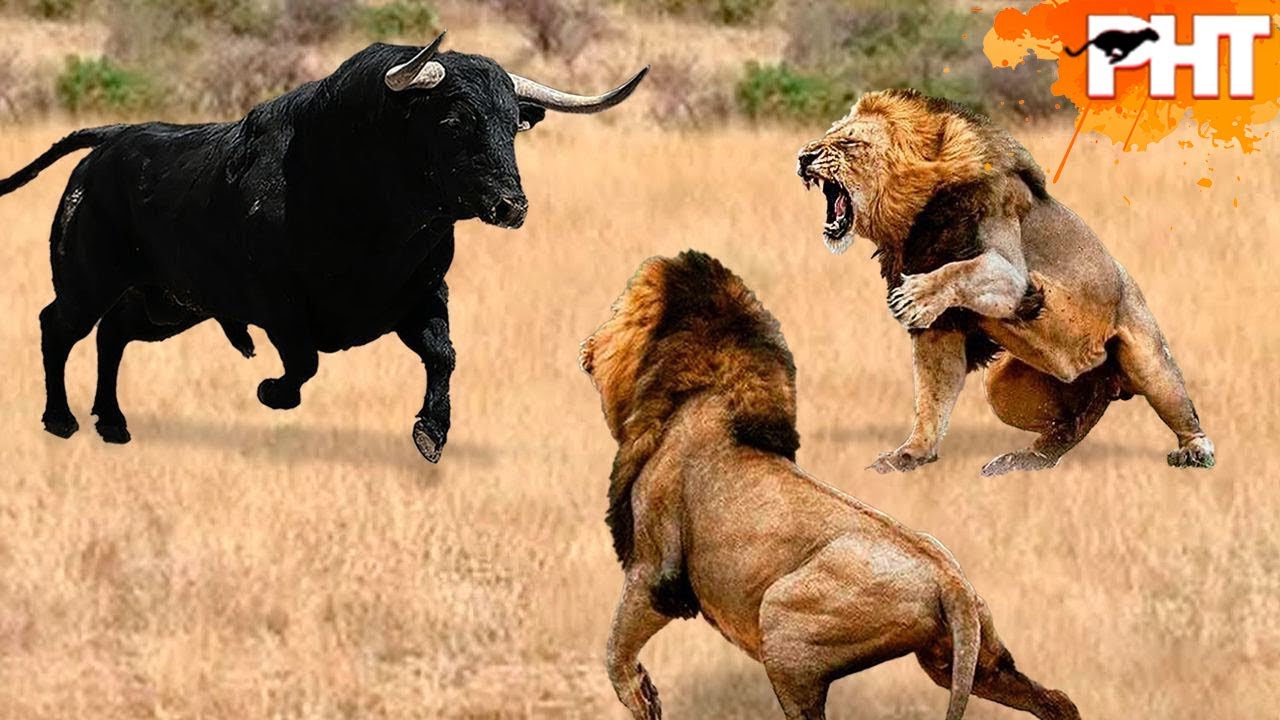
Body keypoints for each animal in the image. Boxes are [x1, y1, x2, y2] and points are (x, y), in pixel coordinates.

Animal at [0, 32, 647, 462]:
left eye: (513, 124)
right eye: (454, 121)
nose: (512, 206)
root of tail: (109, 140)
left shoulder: (422, 297)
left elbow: (443, 355)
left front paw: (431, 433)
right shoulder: (279, 304)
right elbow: (304, 360)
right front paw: (272, 391)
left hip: (166, 304)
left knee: (113, 335)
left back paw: (112, 422)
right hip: (88, 281)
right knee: (59, 327)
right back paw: (61, 419)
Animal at [580, 250, 1081, 720]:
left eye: (619, 306)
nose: (587, 344)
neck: (705, 389)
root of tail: (950, 579)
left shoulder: (655, 571)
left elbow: (615, 647)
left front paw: (642, 698)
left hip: (782, 625)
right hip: (968, 662)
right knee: (1056, 700)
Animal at [796, 89, 1214, 475]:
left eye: (849, 143)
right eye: (828, 135)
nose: (802, 157)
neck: (912, 224)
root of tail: (1105, 381)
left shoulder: (1012, 273)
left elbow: (960, 270)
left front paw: (914, 296)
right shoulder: (943, 330)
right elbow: (932, 397)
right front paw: (911, 455)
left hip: (1149, 359)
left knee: (1177, 404)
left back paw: (1194, 451)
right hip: (1001, 385)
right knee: (1072, 423)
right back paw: (1024, 459)